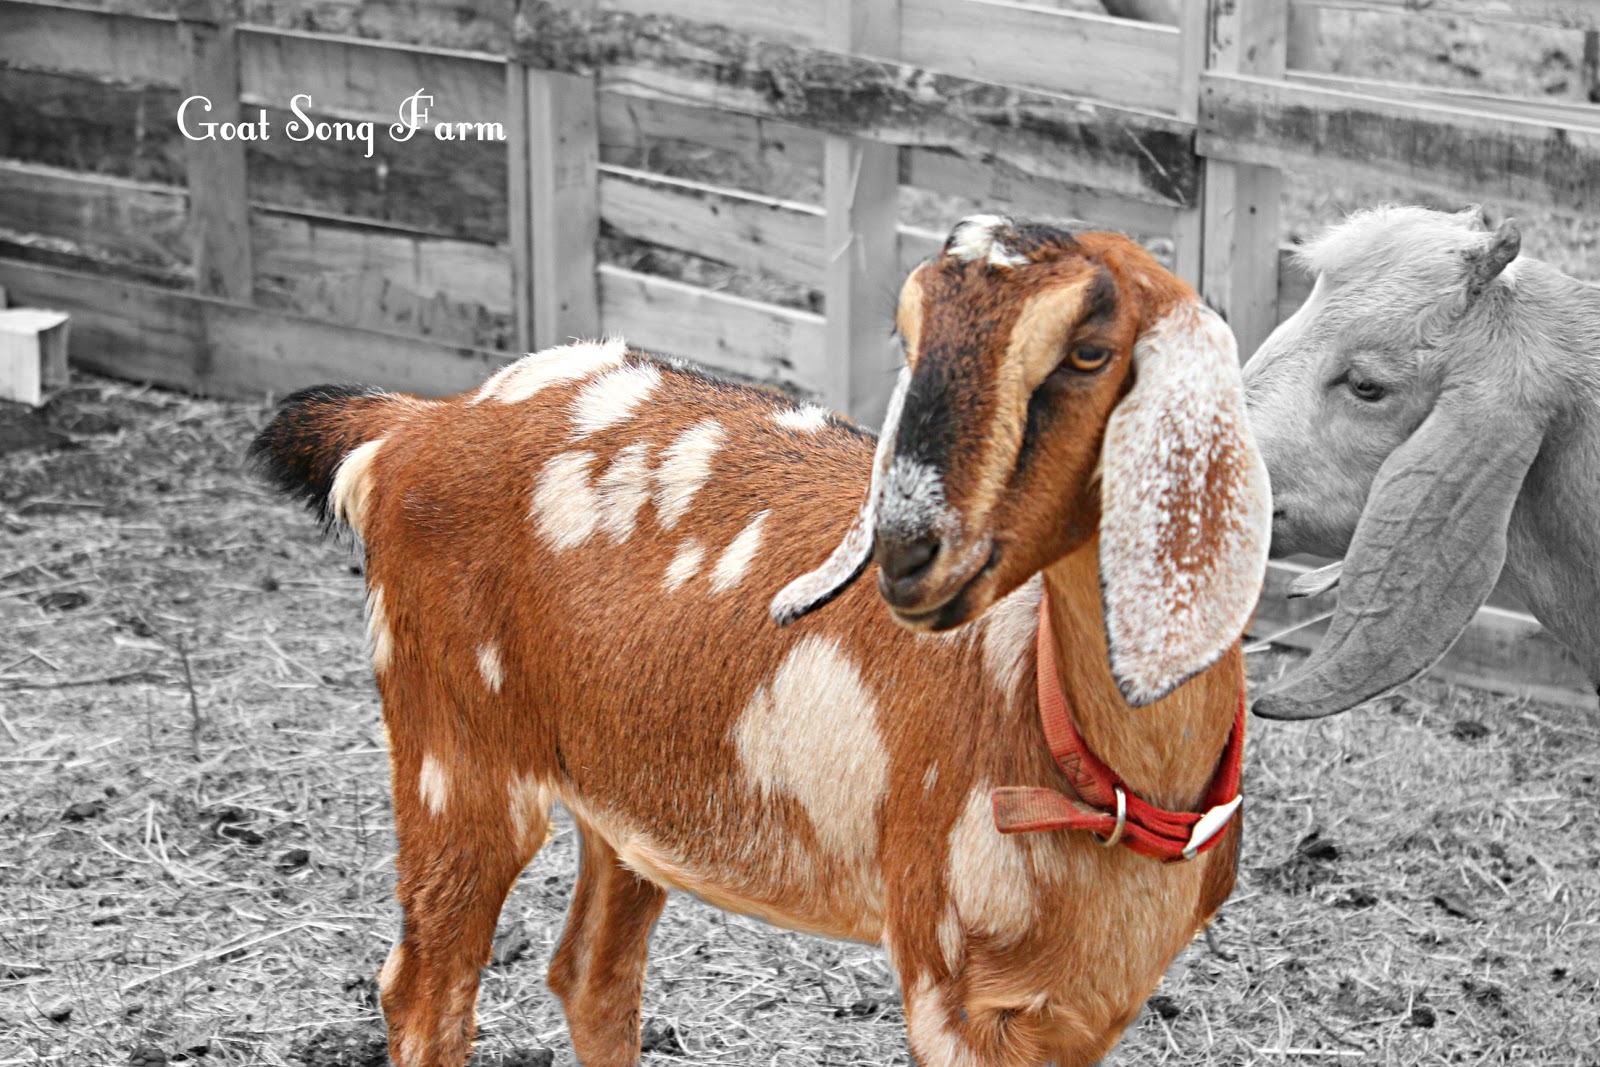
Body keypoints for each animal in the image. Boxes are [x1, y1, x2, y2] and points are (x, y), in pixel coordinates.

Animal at [250, 215, 1271, 1067]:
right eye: (911, 338)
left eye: (1091, 351)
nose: (905, 548)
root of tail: (414, 424)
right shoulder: (950, 989)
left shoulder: (1086, 1007)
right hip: (453, 750)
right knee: (426, 991)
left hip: (621, 797)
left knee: (589, 973)